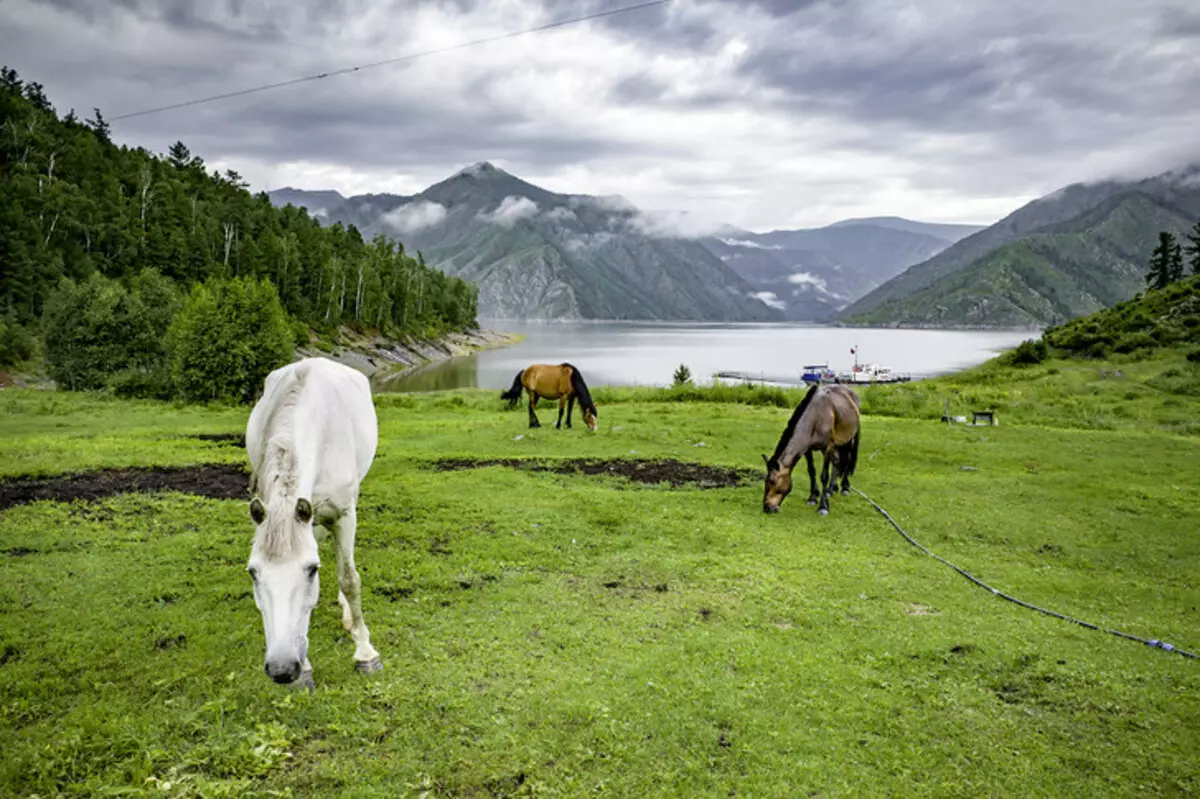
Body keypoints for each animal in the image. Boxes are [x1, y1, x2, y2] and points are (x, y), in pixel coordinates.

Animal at [241, 355, 376, 686]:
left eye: (312, 570)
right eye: (253, 572)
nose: (282, 669)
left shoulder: (344, 515)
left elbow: (349, 578)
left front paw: (365, 654)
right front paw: (306, 669)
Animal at [763, 381, 859, 515]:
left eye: (772, 481)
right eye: (765, 481)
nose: (767, 507)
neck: (816, 417)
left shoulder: (828, 447)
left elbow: (824, 476)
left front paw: (823, 506)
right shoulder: (807, 449)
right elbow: (811, 471)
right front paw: (813, 497)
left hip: (849, 440)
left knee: (847, 459)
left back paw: (844, 487)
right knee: (837, 461)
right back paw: (831, 489)